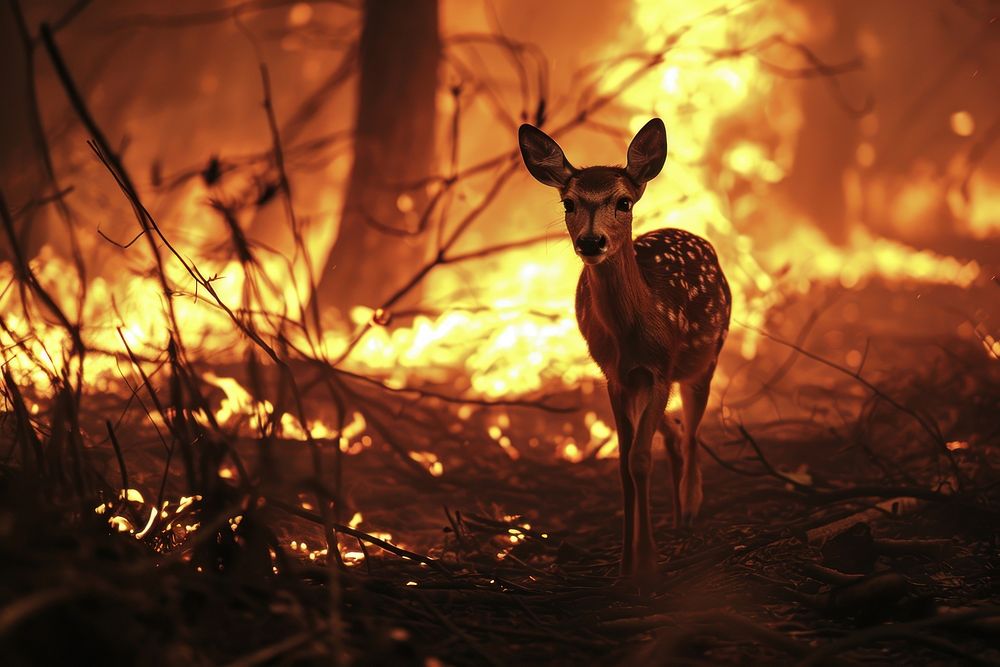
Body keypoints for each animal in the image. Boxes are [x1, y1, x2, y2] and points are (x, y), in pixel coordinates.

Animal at [517, 119, 731, 585]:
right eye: (568, 202)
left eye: (623, 201)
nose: (591, 241)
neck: (634, 331)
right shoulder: (615, 376)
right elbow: (622, 466)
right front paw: (625, 567)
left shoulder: (661, 368)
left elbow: (639, 461)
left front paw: (647, 565)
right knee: (674, 432)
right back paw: (678, 517)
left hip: (706, 358)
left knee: (691, 431)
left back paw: (691, 508)